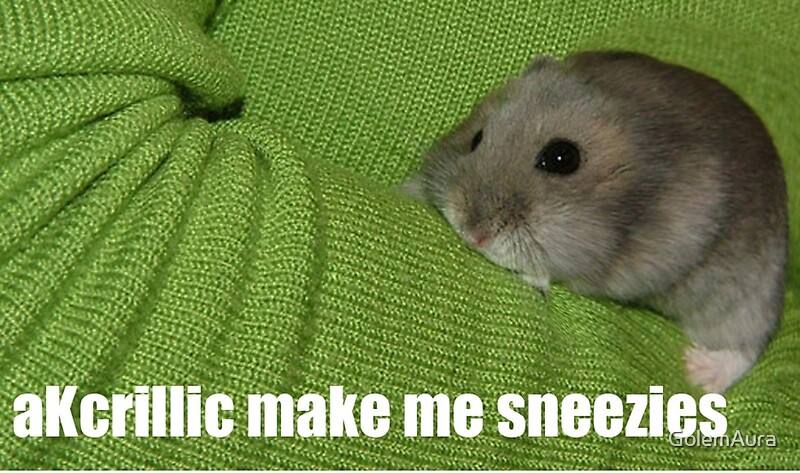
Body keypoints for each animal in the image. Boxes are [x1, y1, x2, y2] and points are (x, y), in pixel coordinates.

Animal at [404, 51, 788, 393]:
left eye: (562, 157)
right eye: (476, 138)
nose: (472, 234)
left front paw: (532, 278)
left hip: (744, 290)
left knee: (747, 342)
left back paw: (699, 374)